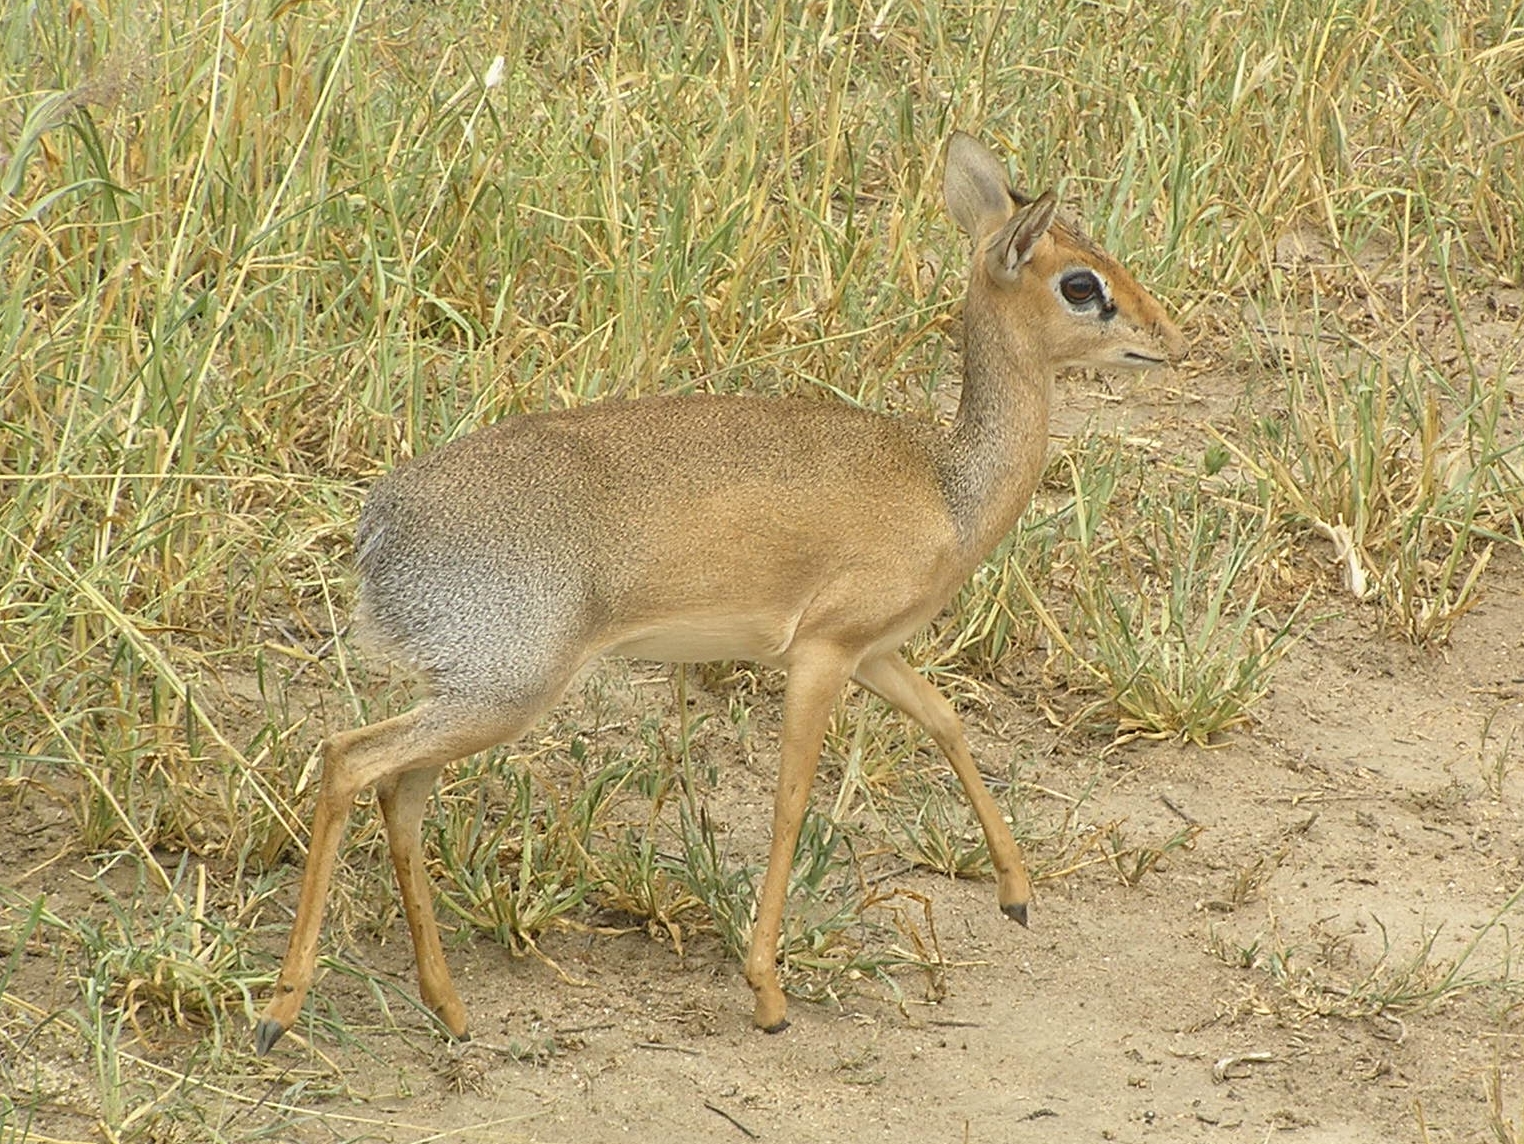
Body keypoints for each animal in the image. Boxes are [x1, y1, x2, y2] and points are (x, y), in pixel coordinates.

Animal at [254, 130, 1185, 1054]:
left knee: (398, 791)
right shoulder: (820, 653)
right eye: (1080, 282)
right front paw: (768, 993)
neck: (946, 485)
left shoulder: (873, 653)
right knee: (346, 759)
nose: (1169, 334)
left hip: (467, 691)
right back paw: (278, 1013)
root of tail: (380, 522)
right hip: (505, 690)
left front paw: (1016, 894)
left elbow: (947, 721)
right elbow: (790, 804)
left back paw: (446, 1008)